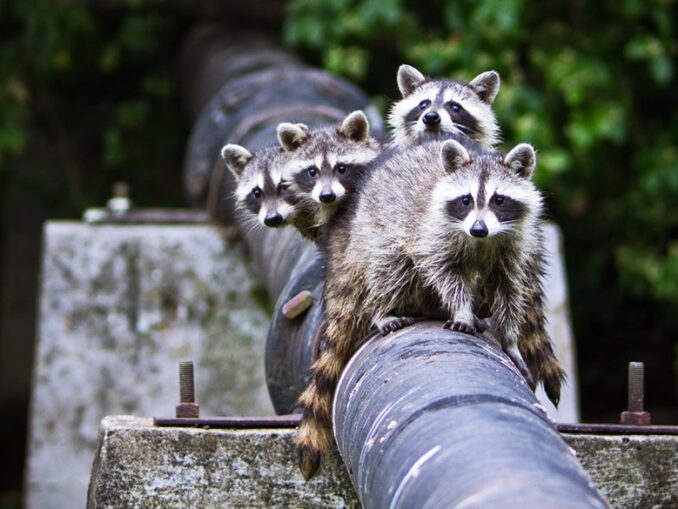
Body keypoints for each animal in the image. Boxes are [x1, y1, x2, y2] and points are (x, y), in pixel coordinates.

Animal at [296, 135, 565, 479]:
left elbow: (508, 291)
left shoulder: (513, 245)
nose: (478, 229)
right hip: (375, 230)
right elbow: (443, 272)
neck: (481, 240)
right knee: (391, 264)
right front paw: (461, 310)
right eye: (465, 200)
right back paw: (383, 309)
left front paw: (510, 339)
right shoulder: (432, 230)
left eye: (499, 200)